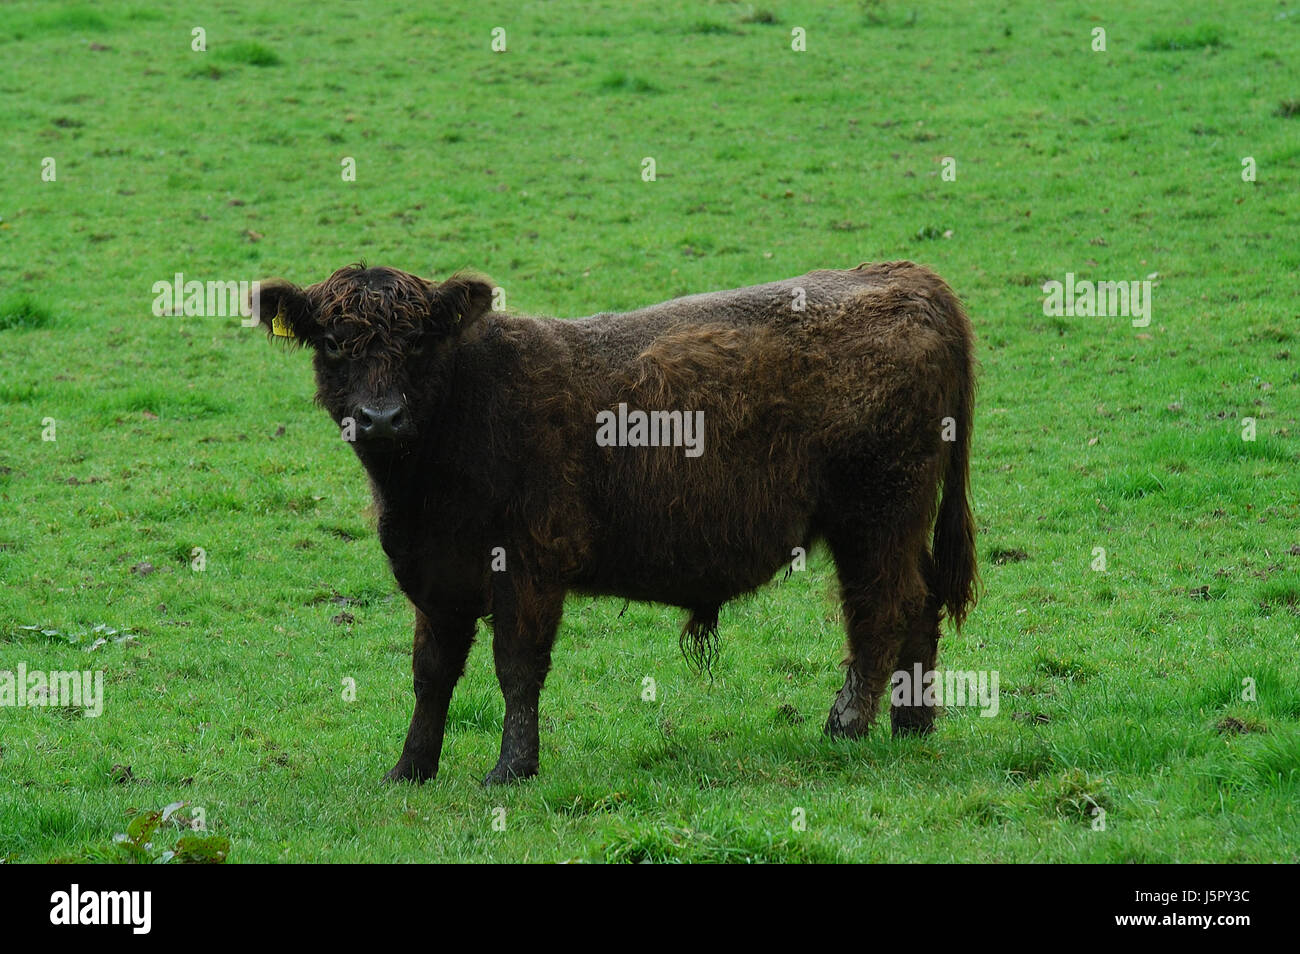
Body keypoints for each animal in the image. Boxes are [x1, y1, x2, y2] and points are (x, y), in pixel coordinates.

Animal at [254, 260, 978, 784]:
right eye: (332, 343)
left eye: (417, 342)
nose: (381, 417)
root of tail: (904, 276)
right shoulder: (436, 577)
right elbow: (431, 674)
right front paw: (410, 768)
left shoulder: (530, 563)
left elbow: (517, 667)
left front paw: (511, 769)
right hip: (897, 524)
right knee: (920, 608)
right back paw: (912, 727)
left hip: (877, 515)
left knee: (882, 613)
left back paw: (845, 729)